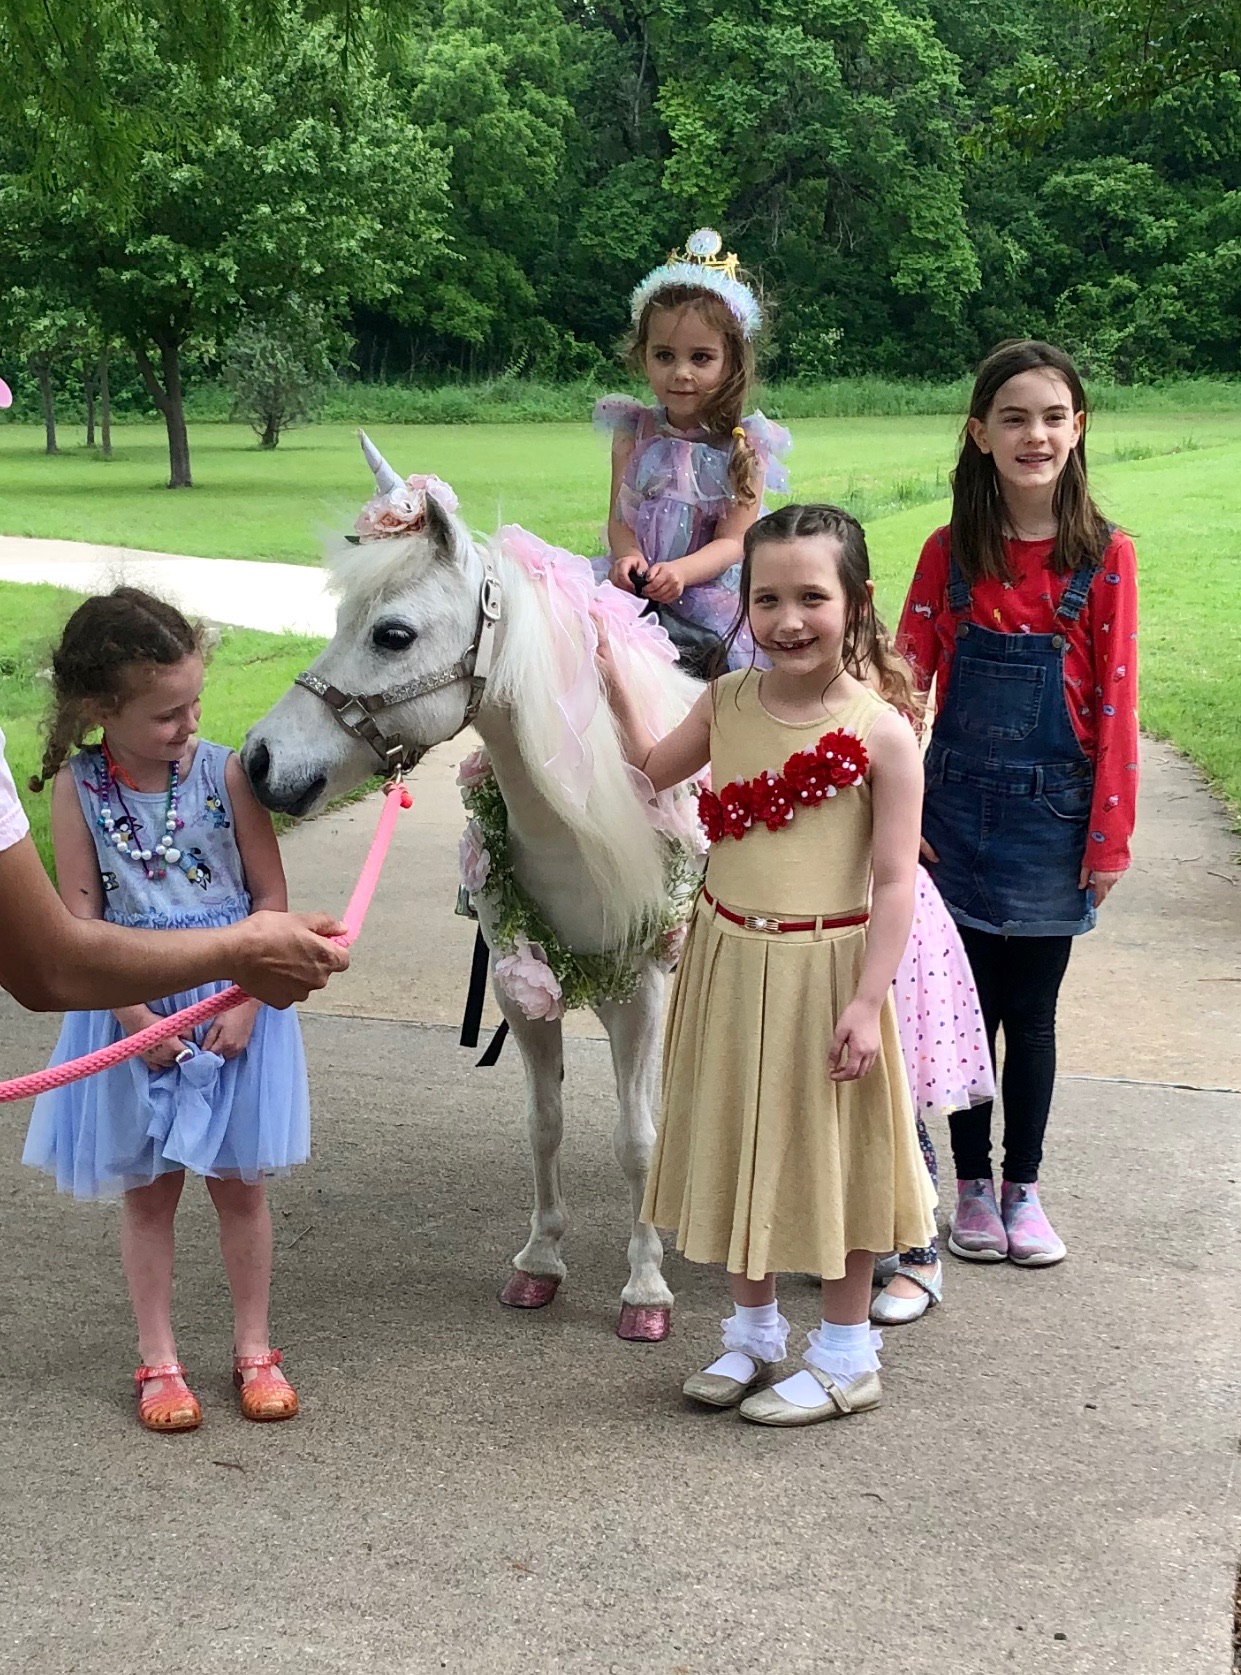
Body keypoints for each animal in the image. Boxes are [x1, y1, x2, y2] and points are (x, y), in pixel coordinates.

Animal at [242, 434, 703, 1340]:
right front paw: (541, 1259)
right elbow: (544, 1123)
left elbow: (636, 1137)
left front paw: (644, 1287)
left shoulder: (641, 989)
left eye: (392, 633)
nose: (260, 761)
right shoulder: (523, 989)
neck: (585, 821)